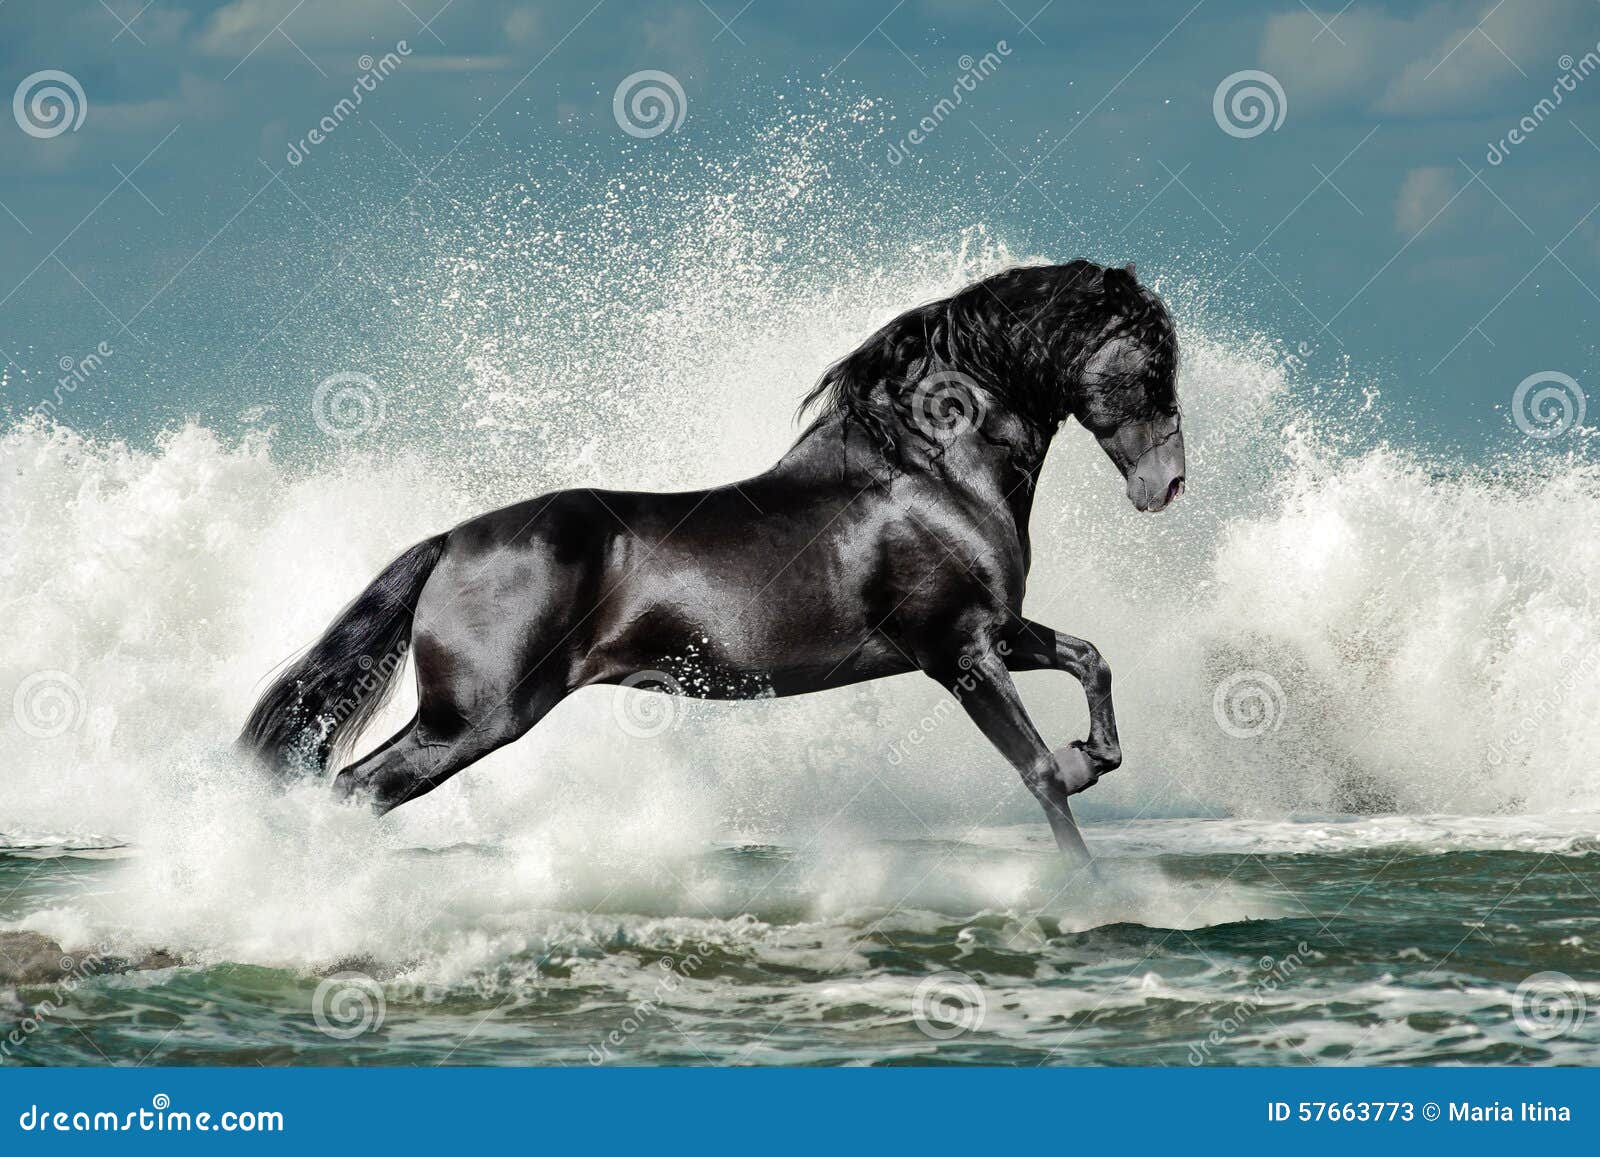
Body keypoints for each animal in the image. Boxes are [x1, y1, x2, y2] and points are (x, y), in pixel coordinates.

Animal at [239, 259, 1185, 860]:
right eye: (1152, 365)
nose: (1166, 484)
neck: (929, 473)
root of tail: (447, 542)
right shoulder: (957, 650)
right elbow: (1038, 773)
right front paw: (1086, 878)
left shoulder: (999, 630)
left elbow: (1090, 660)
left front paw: (1093, 754)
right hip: (472, 719)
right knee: (352, 789)